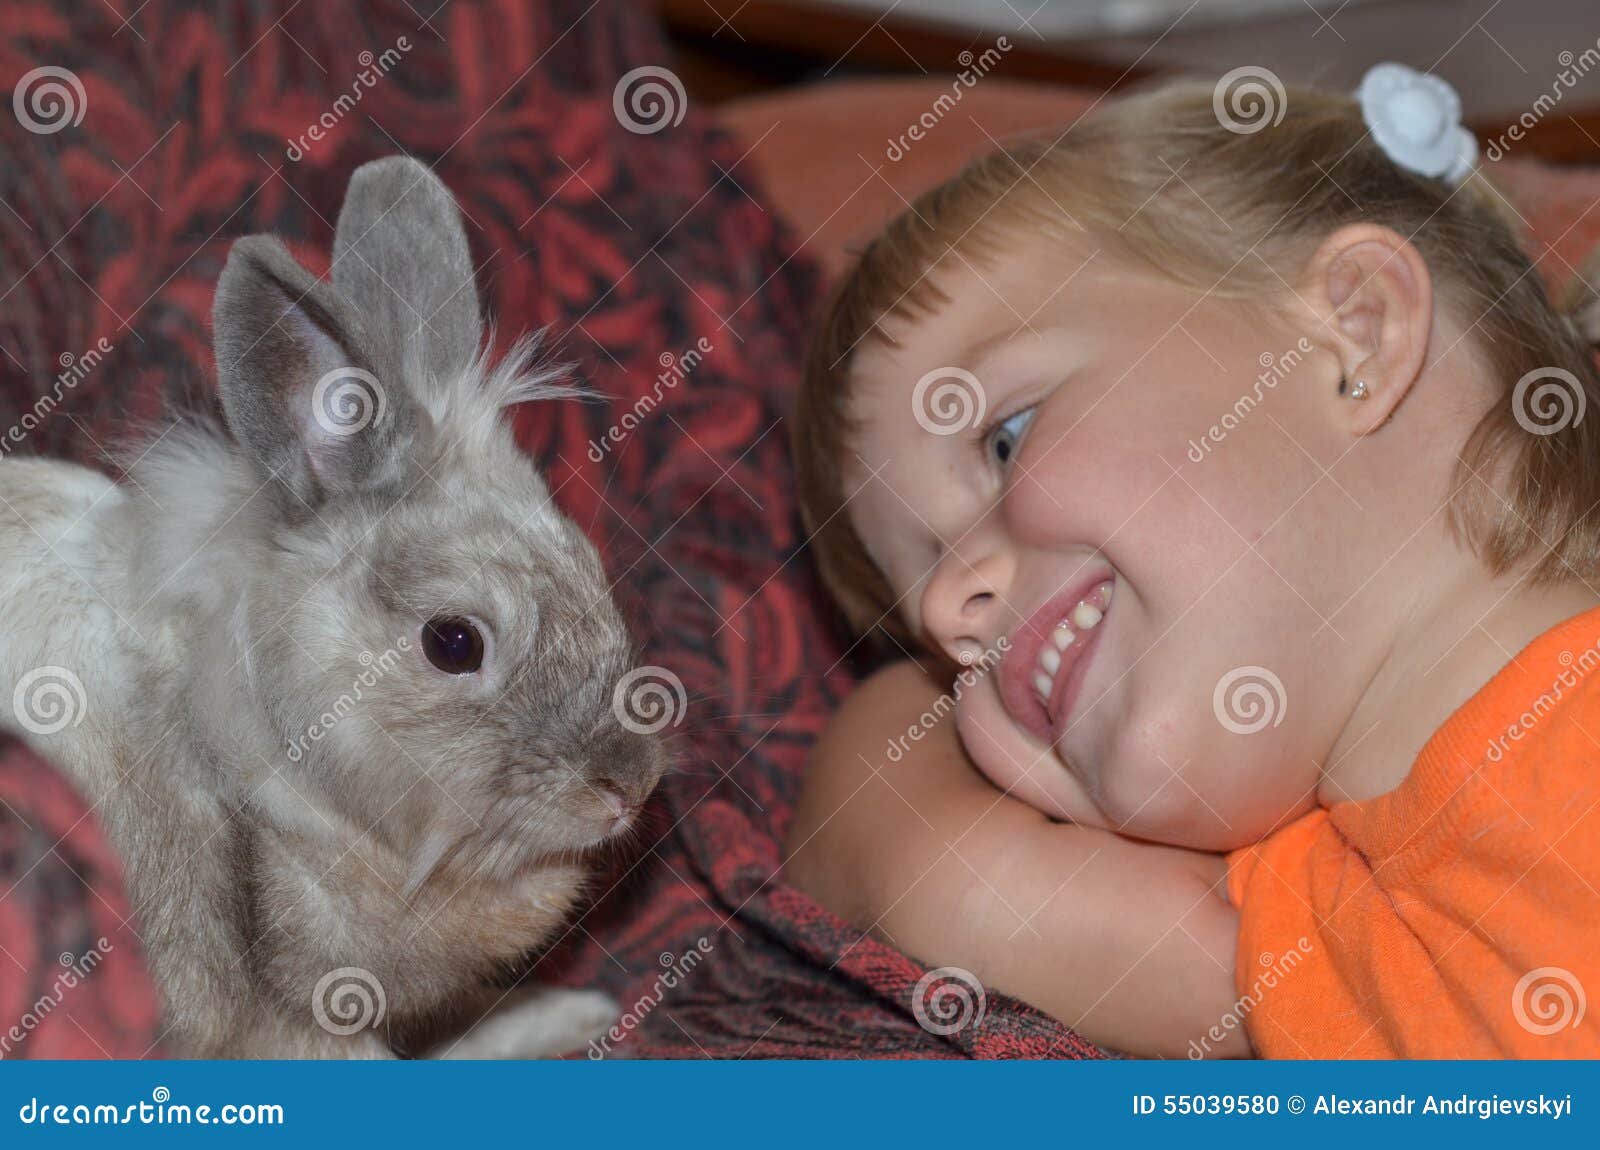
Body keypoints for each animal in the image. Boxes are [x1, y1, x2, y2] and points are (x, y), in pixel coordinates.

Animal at [0, 156, 666, 1058]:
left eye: (592, 568)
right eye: (453, 642)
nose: (629, 786)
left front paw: (575, 1009)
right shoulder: (301, 1024)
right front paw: (572, 1018)